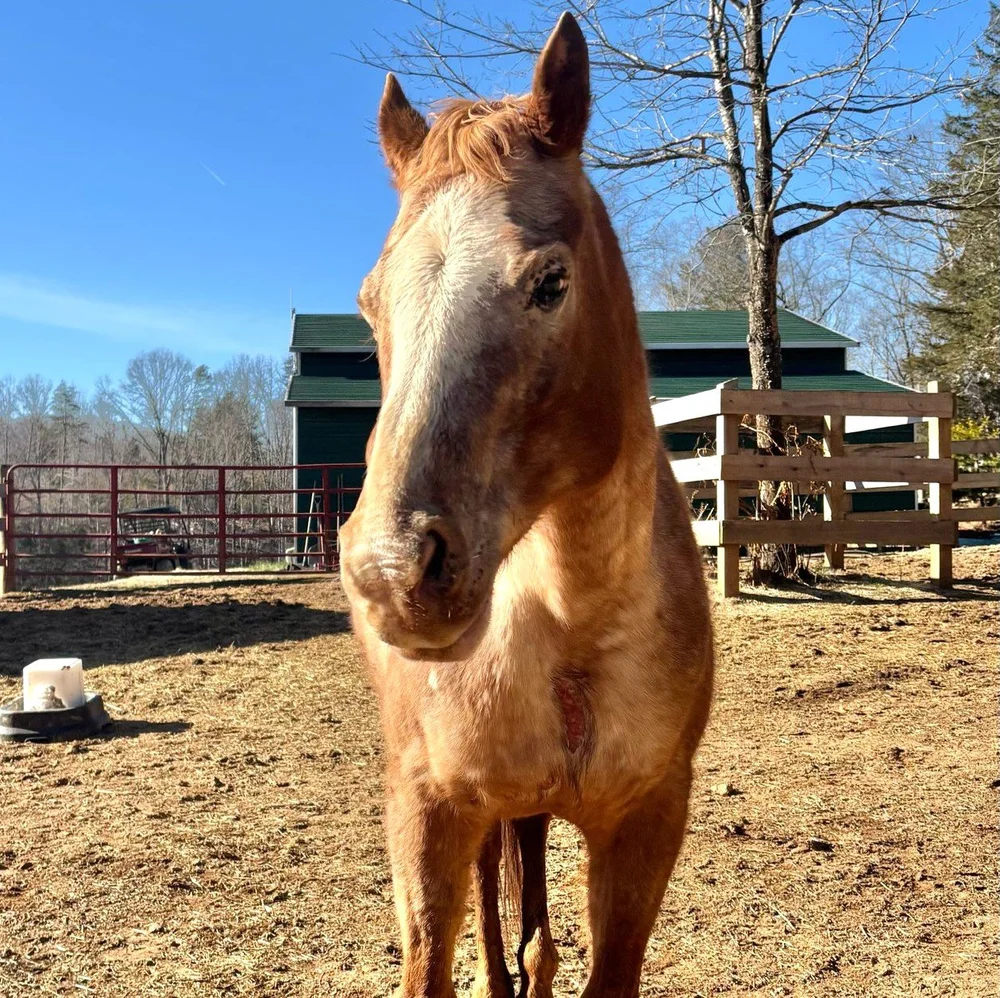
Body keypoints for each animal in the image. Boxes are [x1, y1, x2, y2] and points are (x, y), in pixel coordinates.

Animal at [339, 13, 714, 997]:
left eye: (550, 282)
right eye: (369, 305)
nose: (392, 574)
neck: (570, 623)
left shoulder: (647, 826)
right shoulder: (427, 816)